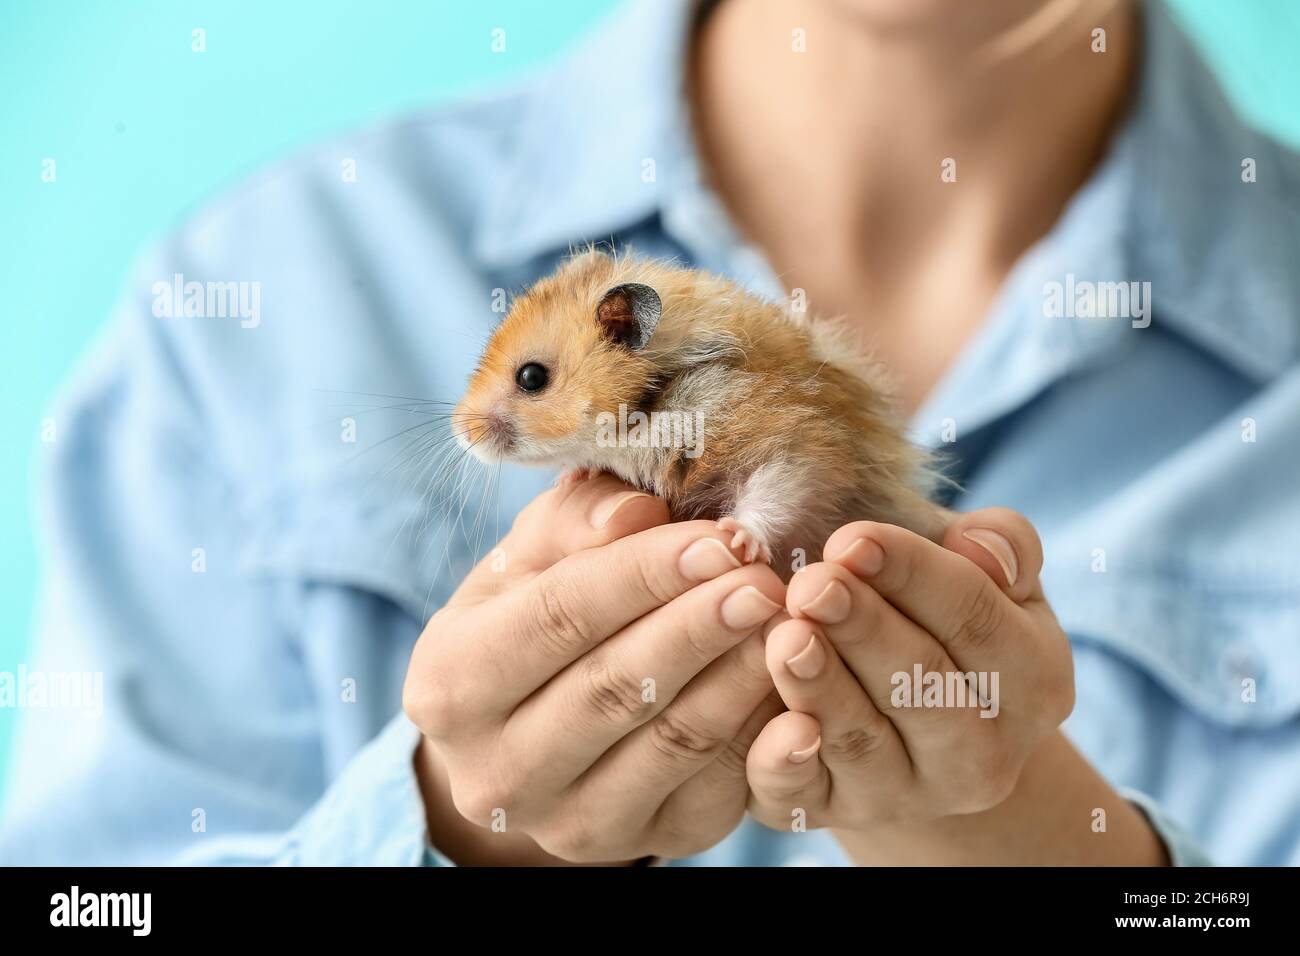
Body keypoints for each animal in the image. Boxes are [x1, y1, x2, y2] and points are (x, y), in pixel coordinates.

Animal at [453, 249, 950, 574]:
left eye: (532, 377)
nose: (462, 434)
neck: (651, 401)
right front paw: (574, 476)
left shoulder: (799, 442)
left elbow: (781, 485)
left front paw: (738, 539)